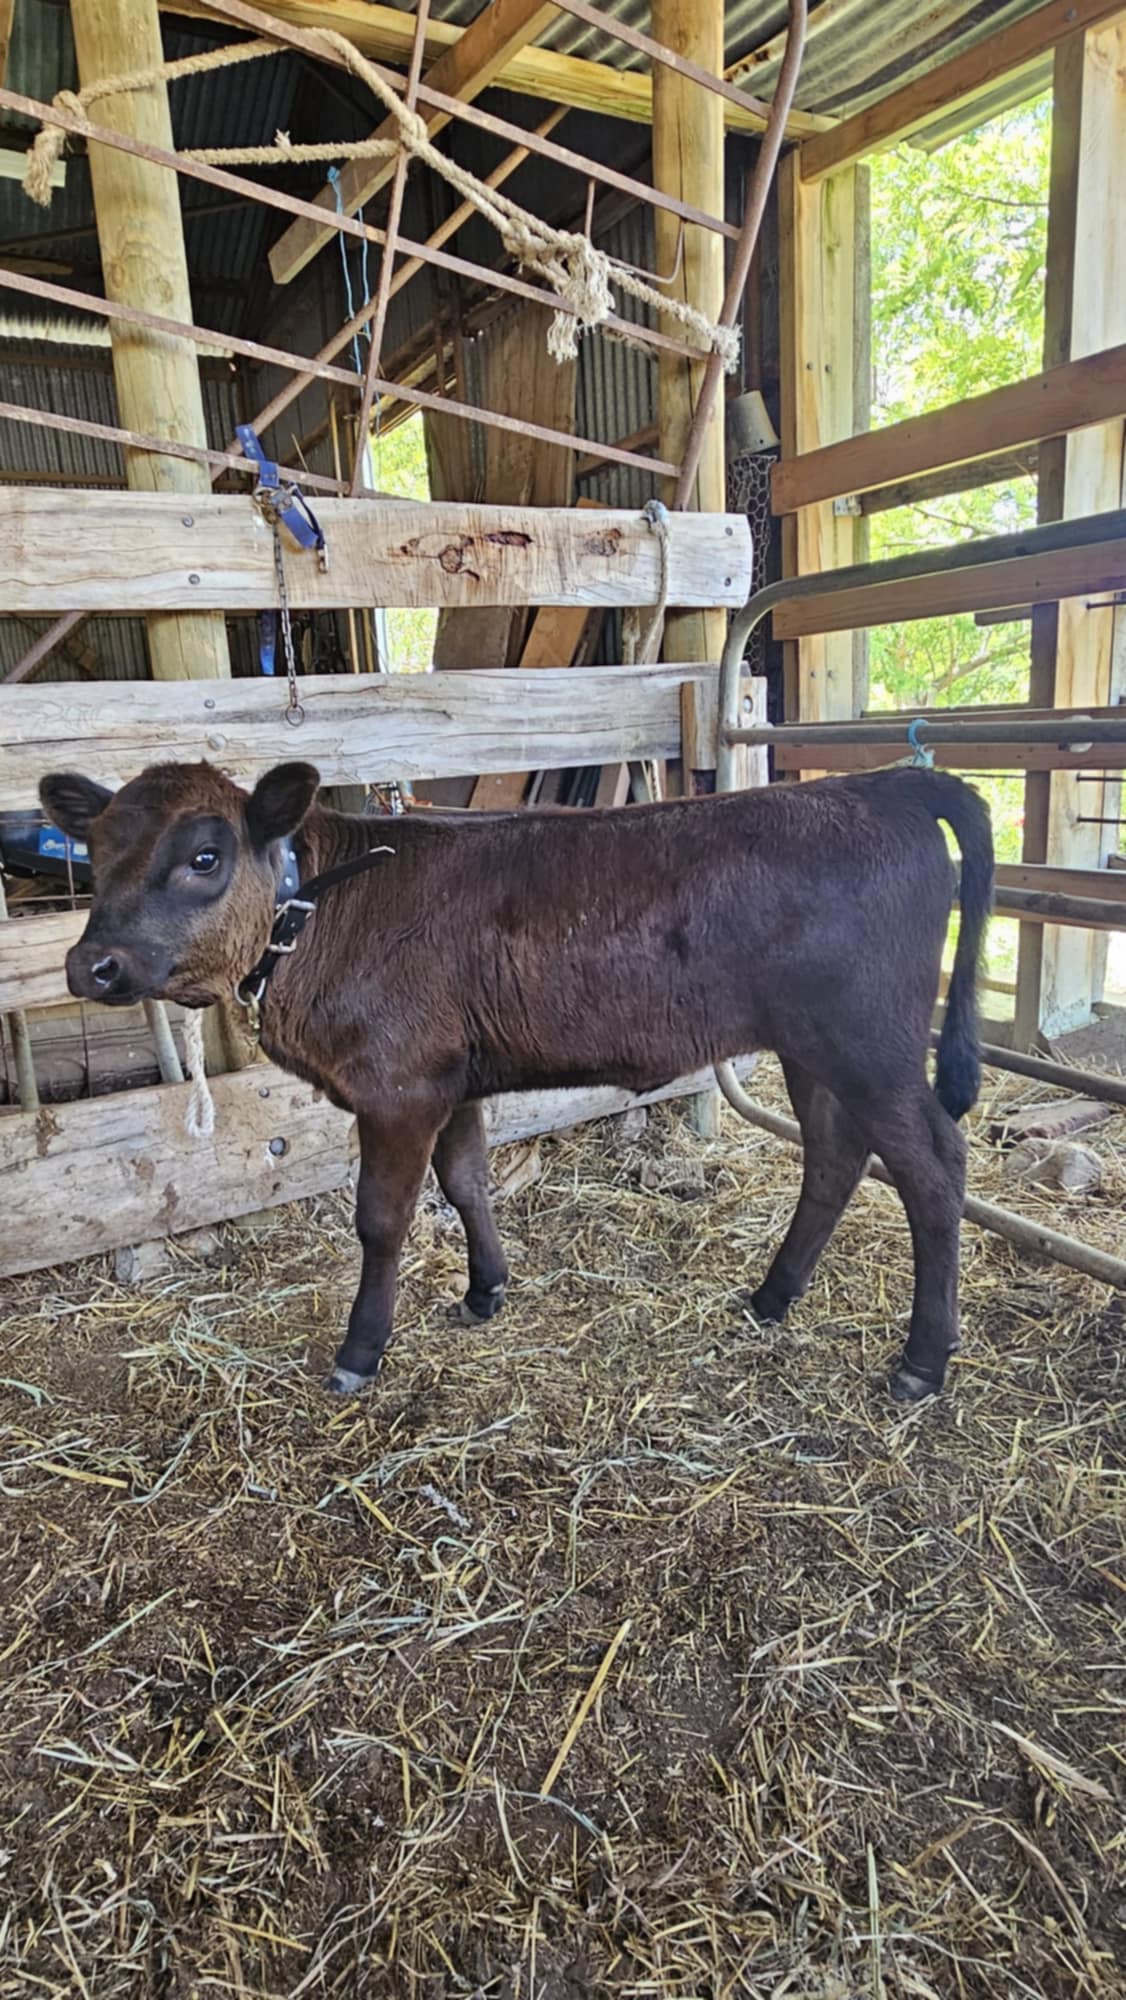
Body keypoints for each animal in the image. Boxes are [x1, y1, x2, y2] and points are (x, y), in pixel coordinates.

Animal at [40, 759, 992, 1404]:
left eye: (205, 856)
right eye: (96, 850)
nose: (91, 965)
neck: (317, 908)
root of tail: (887, 785)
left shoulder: (397, 1086)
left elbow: (381, 1221)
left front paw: (359, 1352)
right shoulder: (450, 1079)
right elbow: (467, 1182)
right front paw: (484, 1290)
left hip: (869, 1040)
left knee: (934, 1167)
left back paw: (921, 1360)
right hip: (813, 1047)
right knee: (834, 1155)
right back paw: (772, 1297)